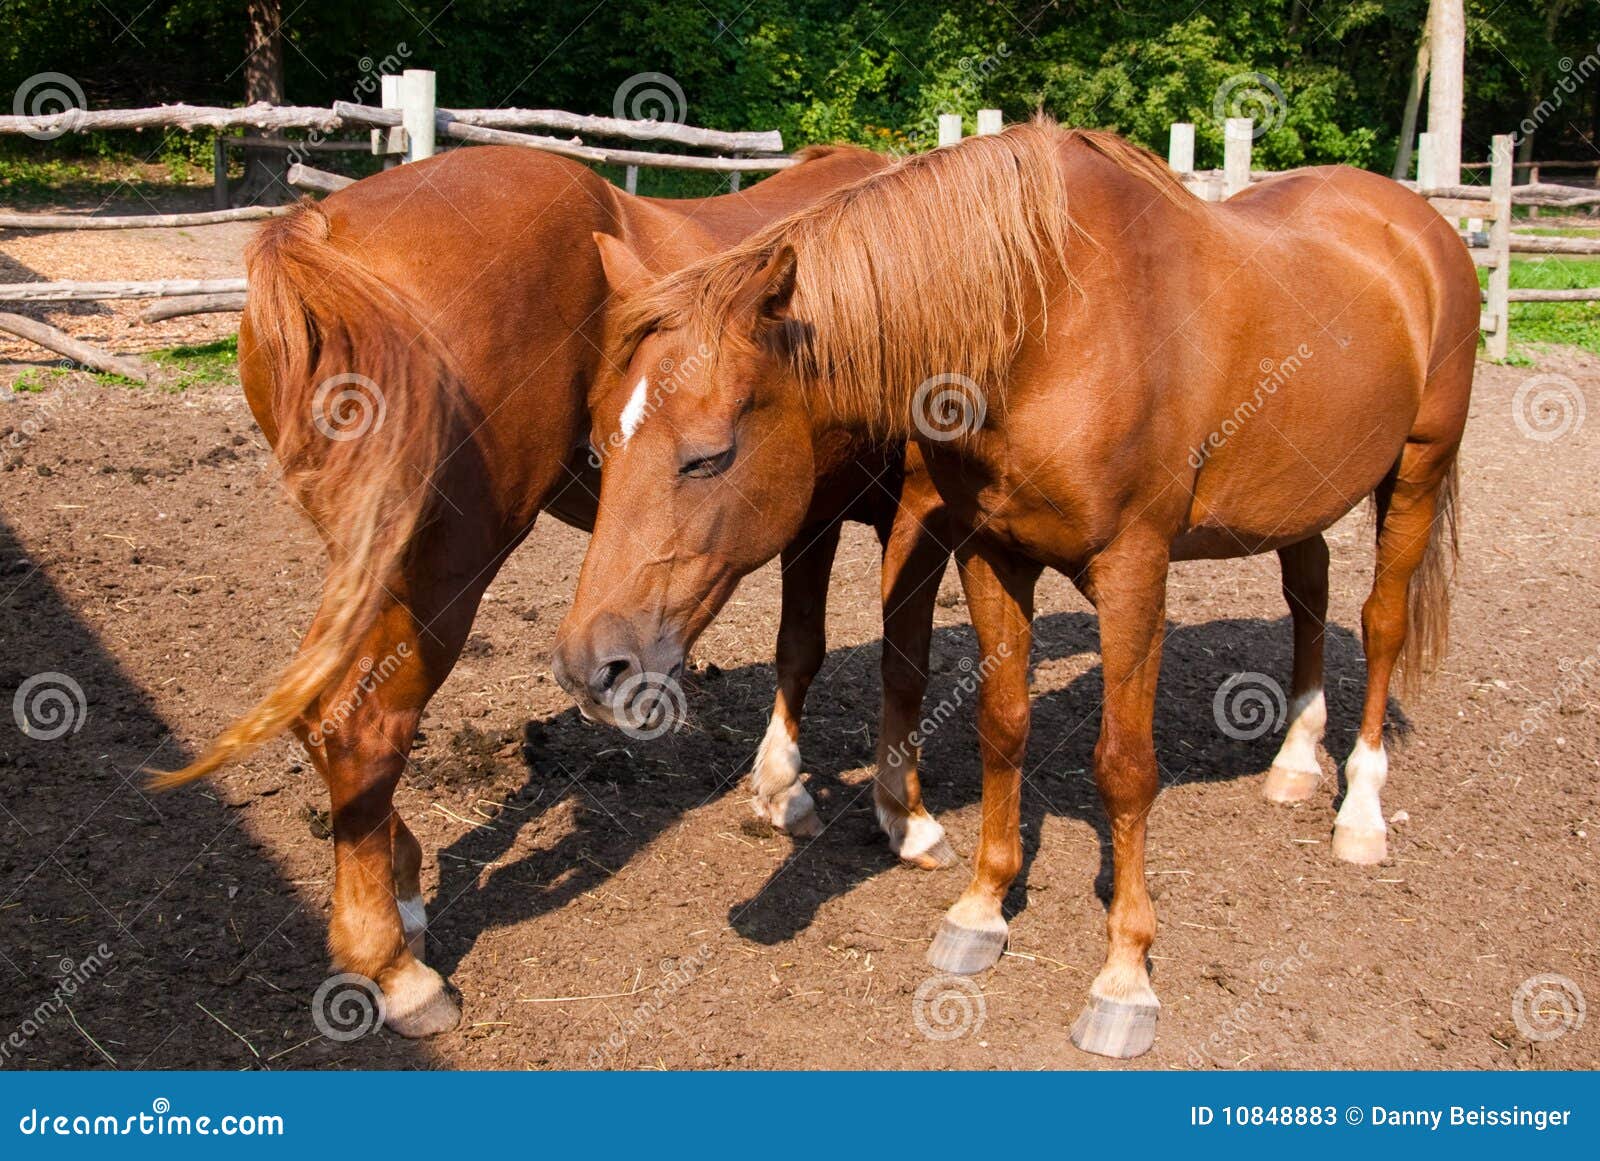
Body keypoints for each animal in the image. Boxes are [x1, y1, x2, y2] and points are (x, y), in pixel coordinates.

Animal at [150, 142, 958, 1038]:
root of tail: (319, 232)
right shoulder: (920, 510)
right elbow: (904, 668)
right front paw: (907, 817)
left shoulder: (810, 510)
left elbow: (802, 649)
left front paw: (784, 790)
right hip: (442, 572)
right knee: (359, 728)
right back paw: (392, 966)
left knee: (318, 715)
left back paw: (404, 886)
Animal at [549, 120, 1478, 1059]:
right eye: (599, 446)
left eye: (708, 455)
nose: (591, 667)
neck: (1050, 330)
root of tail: (1420, 225)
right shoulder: (990, 553)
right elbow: (1001, 728)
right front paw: (981, 909)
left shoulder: (1132, 568)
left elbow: (1123, 765)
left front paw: (1125, 974)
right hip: (1302, 494)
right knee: (1309, 588)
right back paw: (1294, 758)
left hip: (1417, 471)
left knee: (1382, 622)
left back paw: (1359, 811)